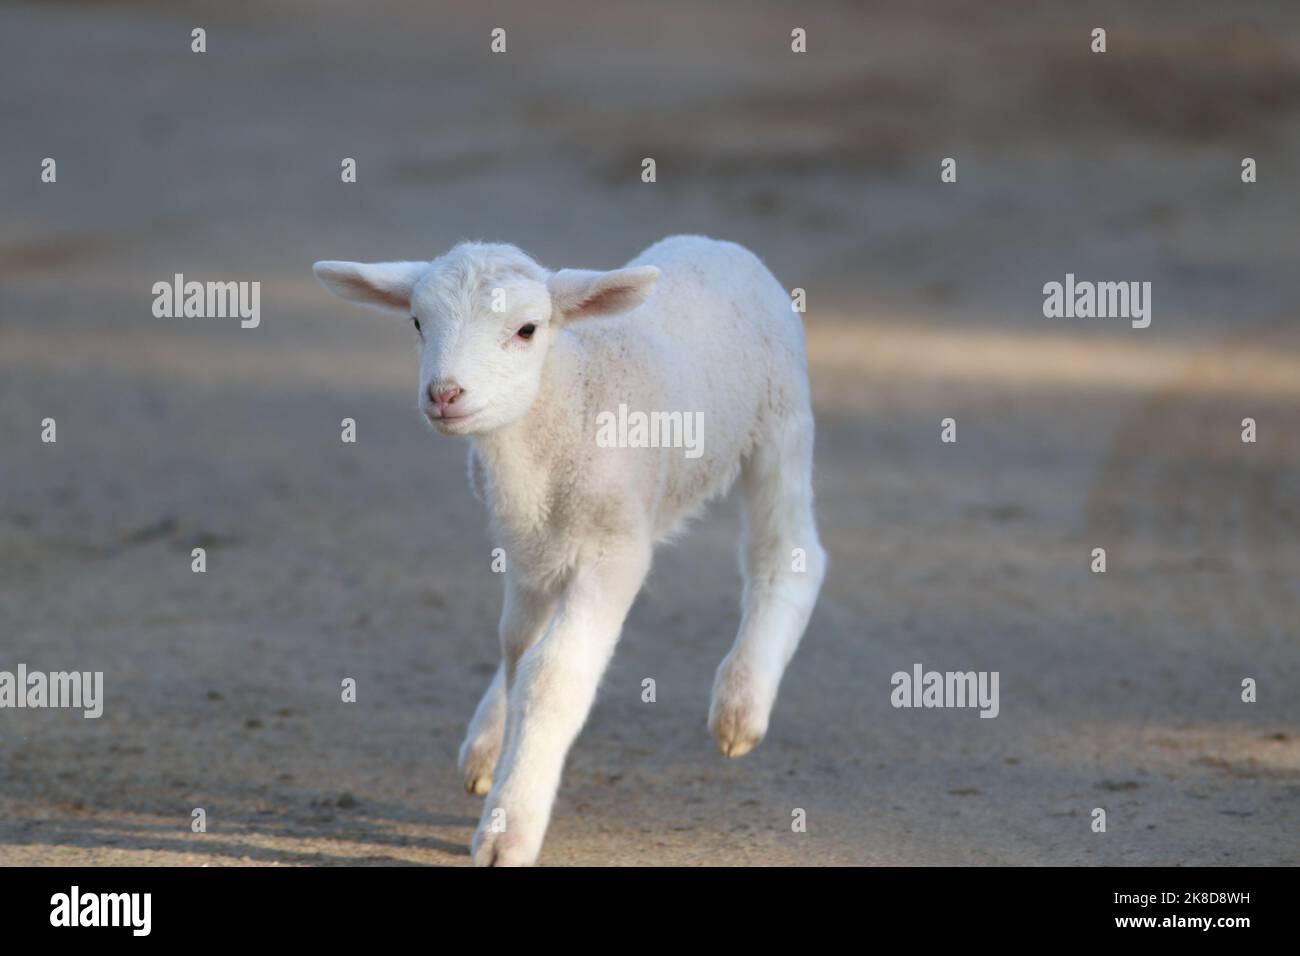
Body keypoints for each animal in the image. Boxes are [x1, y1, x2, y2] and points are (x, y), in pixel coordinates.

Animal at [312, 235, 826, 866]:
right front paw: (502, 764)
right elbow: (515, 650)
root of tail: (716, 243)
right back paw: (487, 744)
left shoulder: (616, 551)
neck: (563, 401)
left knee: (788, 552)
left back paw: (741, 703)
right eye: (416, 321)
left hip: (780, 417)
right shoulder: (525, 548)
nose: (444, 394)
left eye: (527, 329)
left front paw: (509, 829)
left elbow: (552, 673)